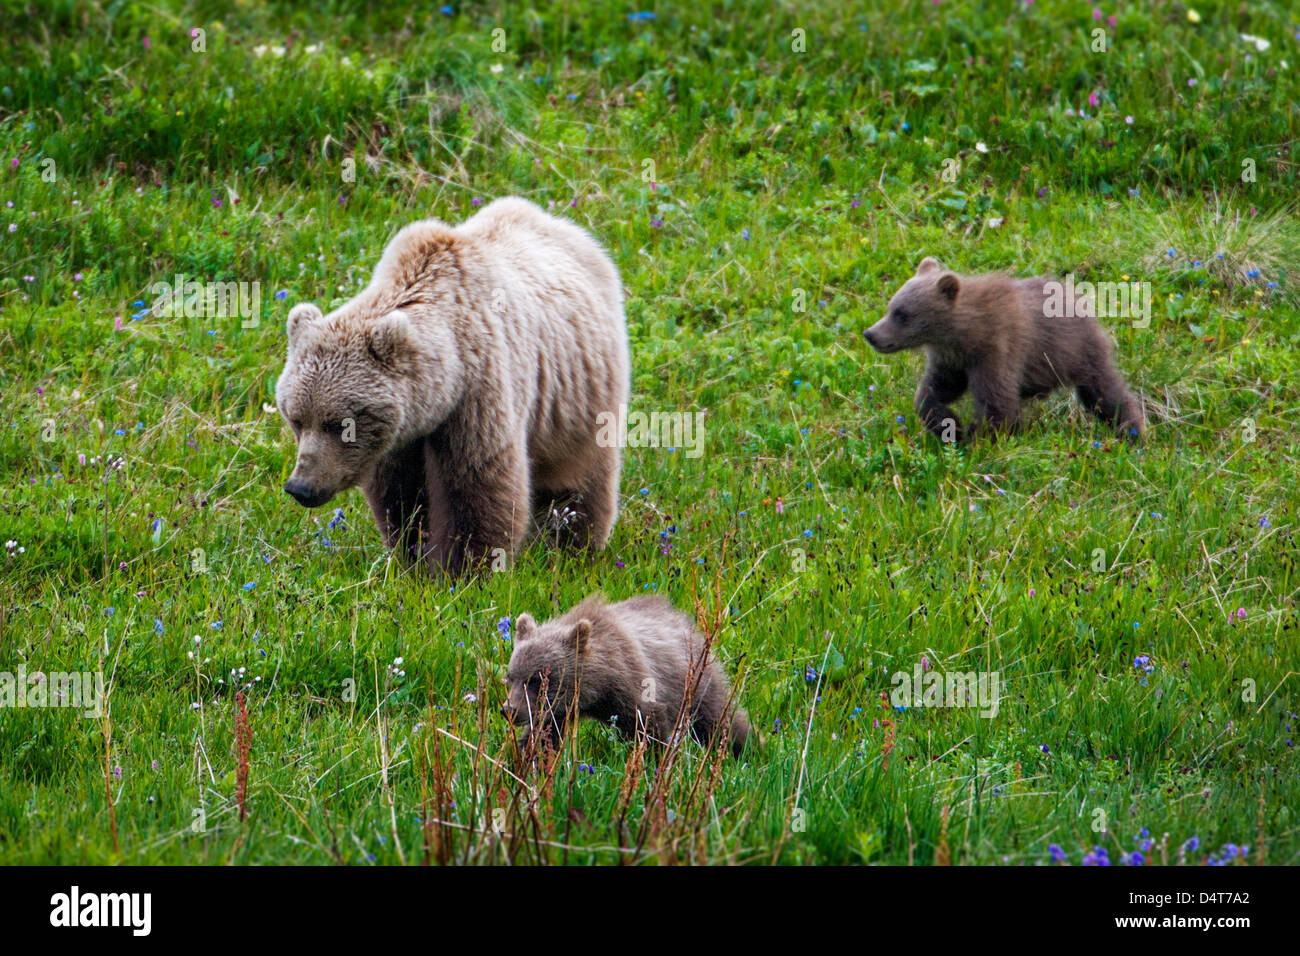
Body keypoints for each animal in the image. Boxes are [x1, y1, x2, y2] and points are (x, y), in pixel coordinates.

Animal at [275, 197, 631, 574]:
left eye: (339, 424)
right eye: (296, 419)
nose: (301, 487)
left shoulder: (477, 392)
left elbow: (477, 488)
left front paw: (465, 570)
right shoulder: (401, 438)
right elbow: (404, 498)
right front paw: (413, 555)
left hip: (579, 389)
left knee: (581, 475)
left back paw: (575, 546)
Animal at [501, 594, 750, 758]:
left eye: (536, 680)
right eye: (510, 676)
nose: (509, 710)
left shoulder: (633, 682)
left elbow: (648, 726)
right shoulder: (557, 711)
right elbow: (542, 737)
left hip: (695, 680)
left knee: (718, 718)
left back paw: (747, 747)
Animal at [862, 257, 1145, 442]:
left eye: (902, 314)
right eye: (891, 306)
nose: (871, 334)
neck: (966, 333)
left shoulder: (998, 348)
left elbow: (997, 400)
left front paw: (978, 440)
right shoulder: (952, 360)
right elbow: (935, 390)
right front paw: (948, 424)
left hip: (1079, 351)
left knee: (1106, 392)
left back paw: (1133, 431)